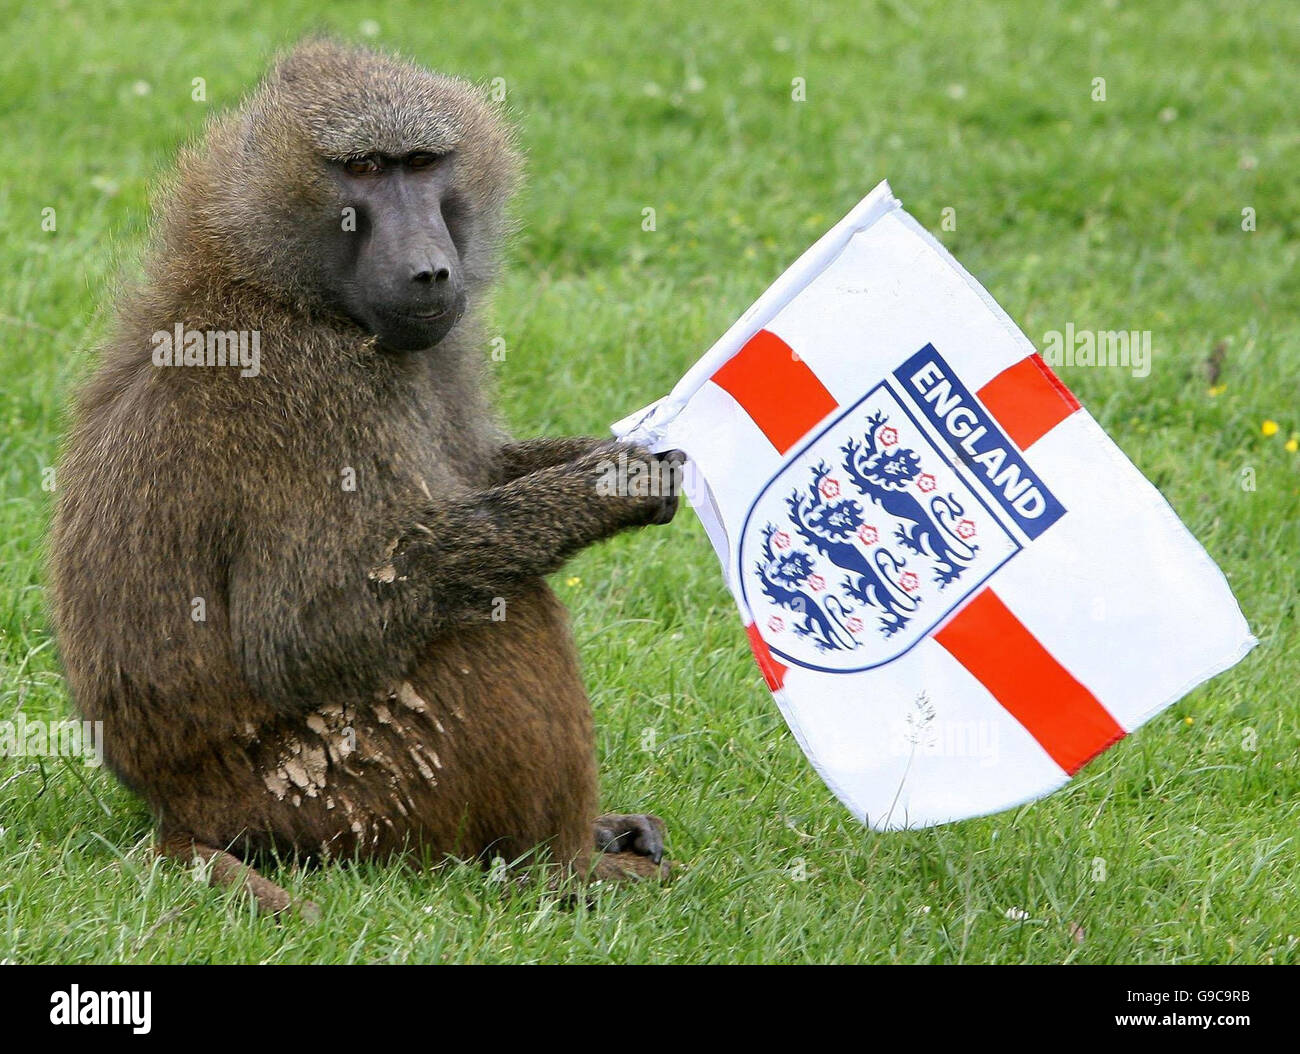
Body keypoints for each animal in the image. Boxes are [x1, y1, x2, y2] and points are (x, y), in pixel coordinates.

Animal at [48, 39, 685, 917]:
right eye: (362, 169)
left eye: (420, 163)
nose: (429, 272)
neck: (277, 285)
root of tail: (181, 811)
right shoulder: (309, 391)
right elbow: (307, 632)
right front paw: (604, 490)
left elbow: (470, 471)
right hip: (342, 793)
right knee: (502, 607)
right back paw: (564, 868)